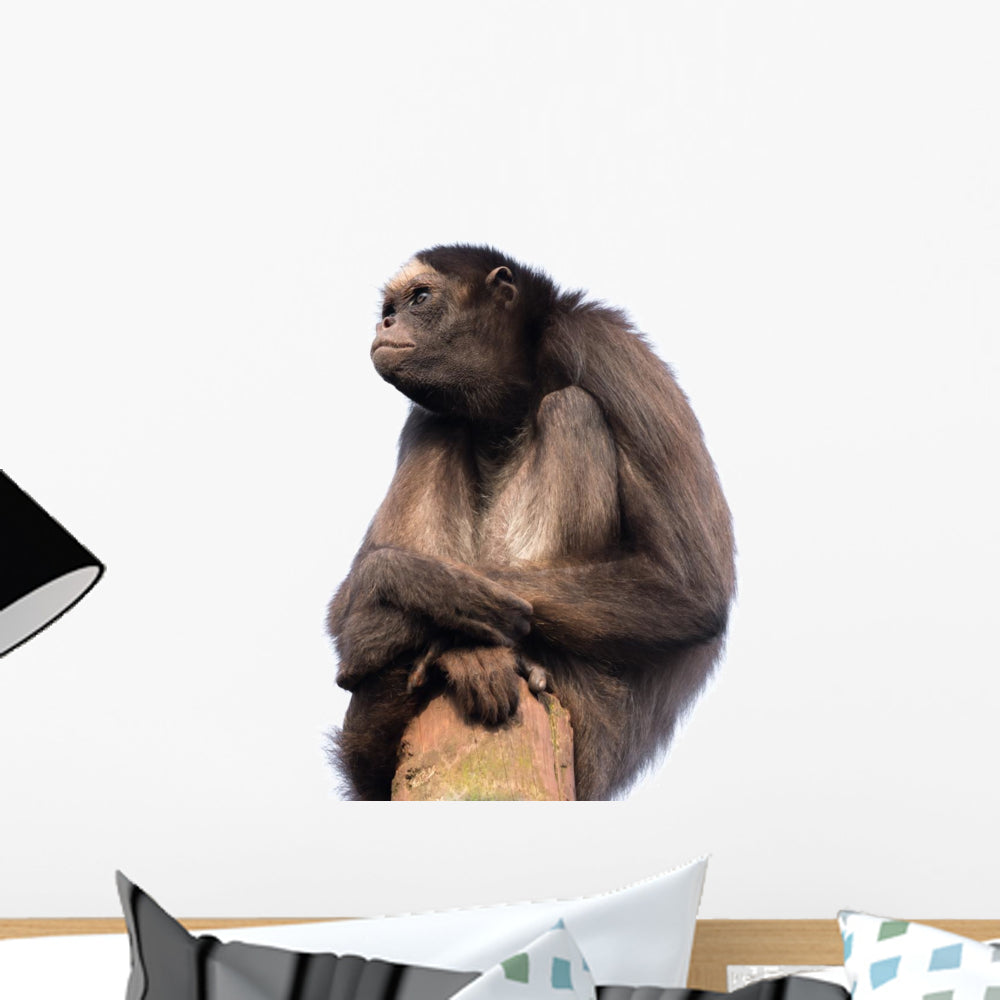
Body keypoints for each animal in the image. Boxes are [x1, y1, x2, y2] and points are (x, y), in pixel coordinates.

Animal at [327, 244, 735, 800]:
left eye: (420, 298)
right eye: (390, 307)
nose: (385, 322)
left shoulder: (603, 345)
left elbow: (693, 592)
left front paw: (411, 593)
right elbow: (345, 606)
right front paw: (426, 589)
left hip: (592, 709)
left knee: (571, 404)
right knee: (442, 424)